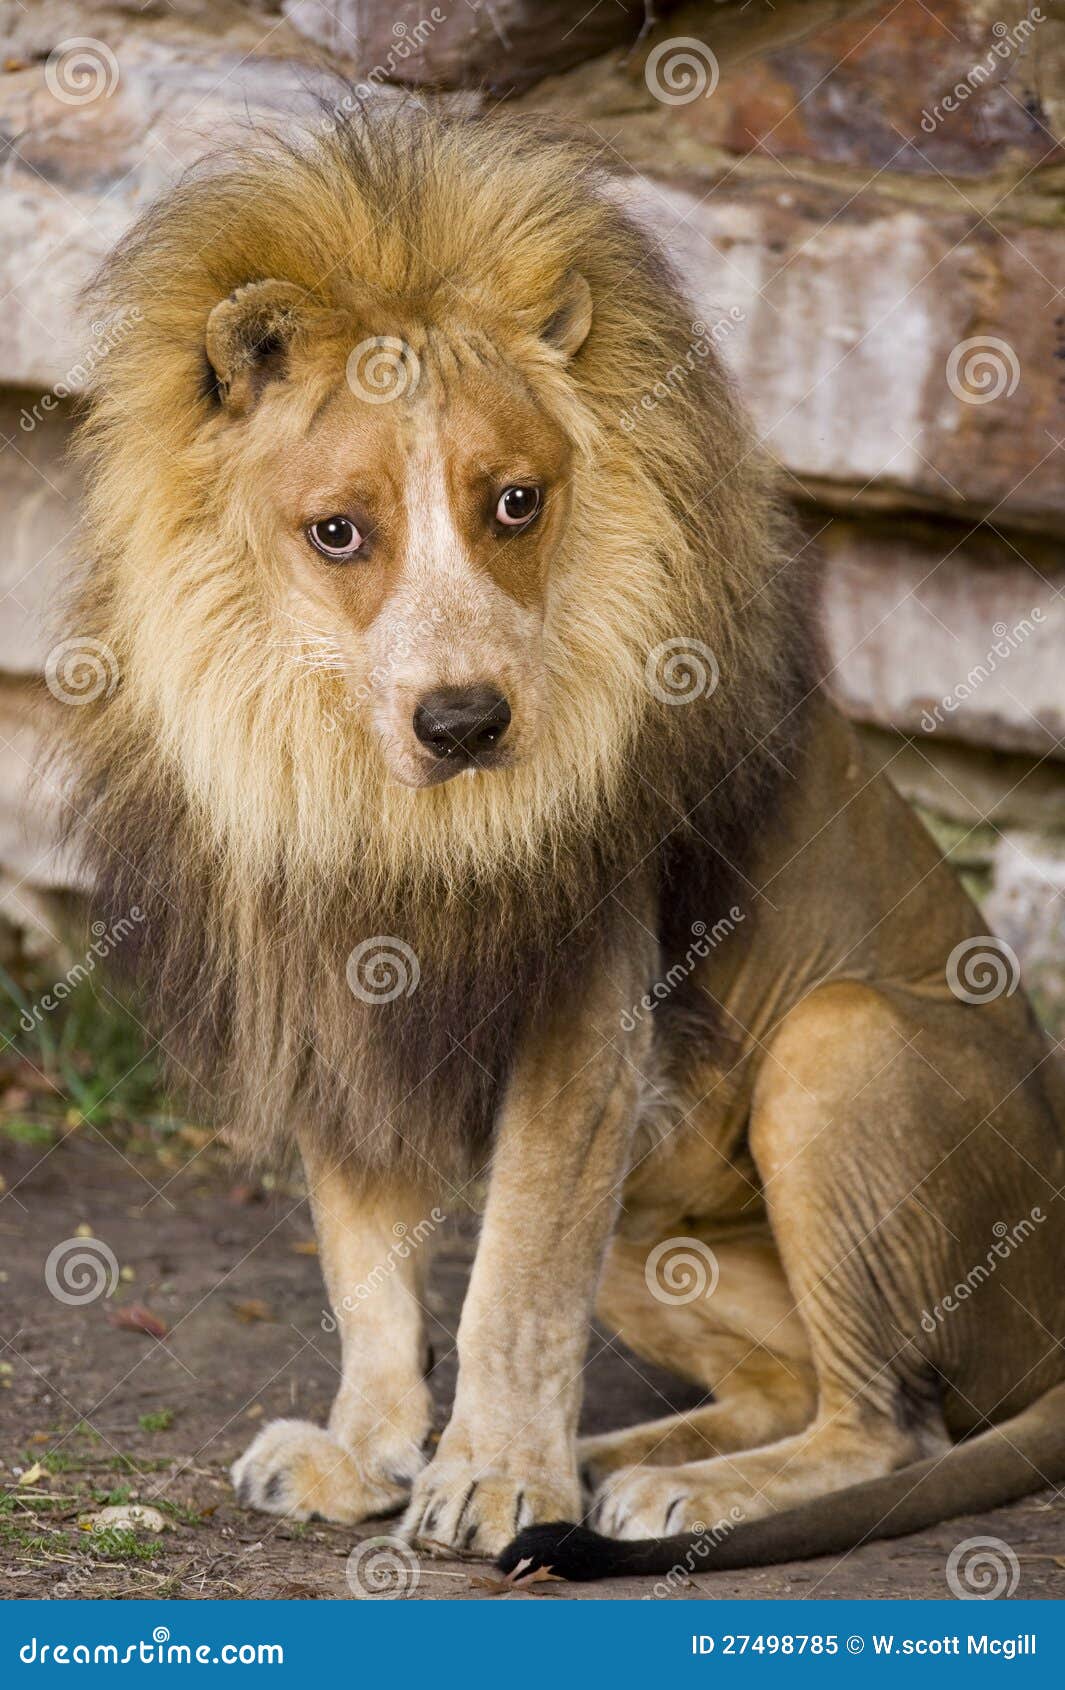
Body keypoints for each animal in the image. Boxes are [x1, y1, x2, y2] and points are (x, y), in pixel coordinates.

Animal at [60, 105, 1065, 1581]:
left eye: (517, 503)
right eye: (338, 531)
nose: (467, 720)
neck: (377, 798)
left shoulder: (587, 1020)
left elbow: (516, 1280)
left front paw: (486, 1479)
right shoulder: (338, 1010)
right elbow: (365, 1270)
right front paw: (372, 1455)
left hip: (836, 1042)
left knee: (888, 1424)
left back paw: (657, 1492)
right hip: (664, 1237)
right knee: (791, 1388)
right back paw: (604, 1463)